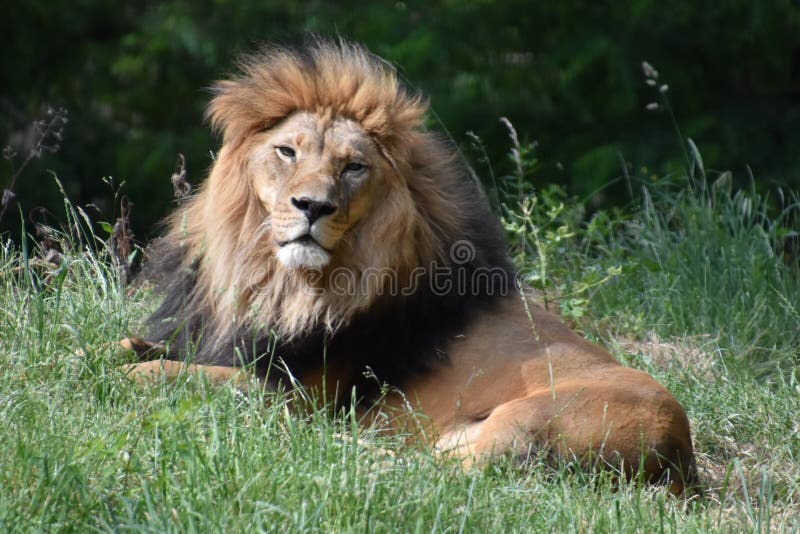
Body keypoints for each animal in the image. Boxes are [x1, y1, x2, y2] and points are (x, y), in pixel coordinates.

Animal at [124, 38, 696, 494]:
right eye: (287, 152)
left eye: (353, 167)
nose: (312, 206)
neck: (271, 278)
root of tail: (680, 461)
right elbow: (141, 348)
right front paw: (110, 351)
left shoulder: (292, 392)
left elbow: (167, 372)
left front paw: (118, 374)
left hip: (527, 422)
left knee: (432, 473)